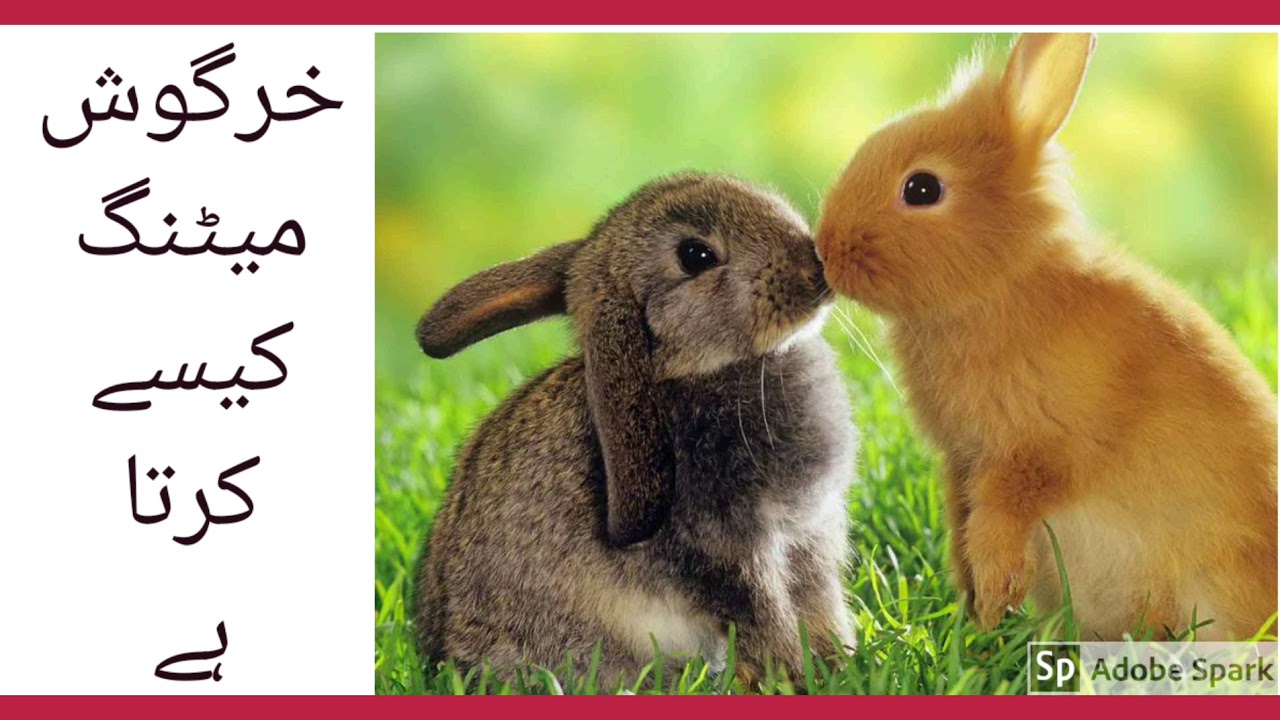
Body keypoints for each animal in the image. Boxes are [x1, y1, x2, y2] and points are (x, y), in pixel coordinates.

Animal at [414, 172, 859, 687]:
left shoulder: (809, 536)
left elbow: (819, 604)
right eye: (695, 256)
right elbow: (766, 616)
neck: (690, 369)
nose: (815, 268)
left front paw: (839, 663)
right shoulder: (730, 548)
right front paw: (797, 676)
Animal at [816, 33, 1277, 640]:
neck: (1001, 284)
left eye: (921, 187)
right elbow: (962, 525)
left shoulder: (1034, 456)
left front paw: (992, 606)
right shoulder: (962, 461)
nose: (824, 250)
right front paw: (975, 616)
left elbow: (998, 525)